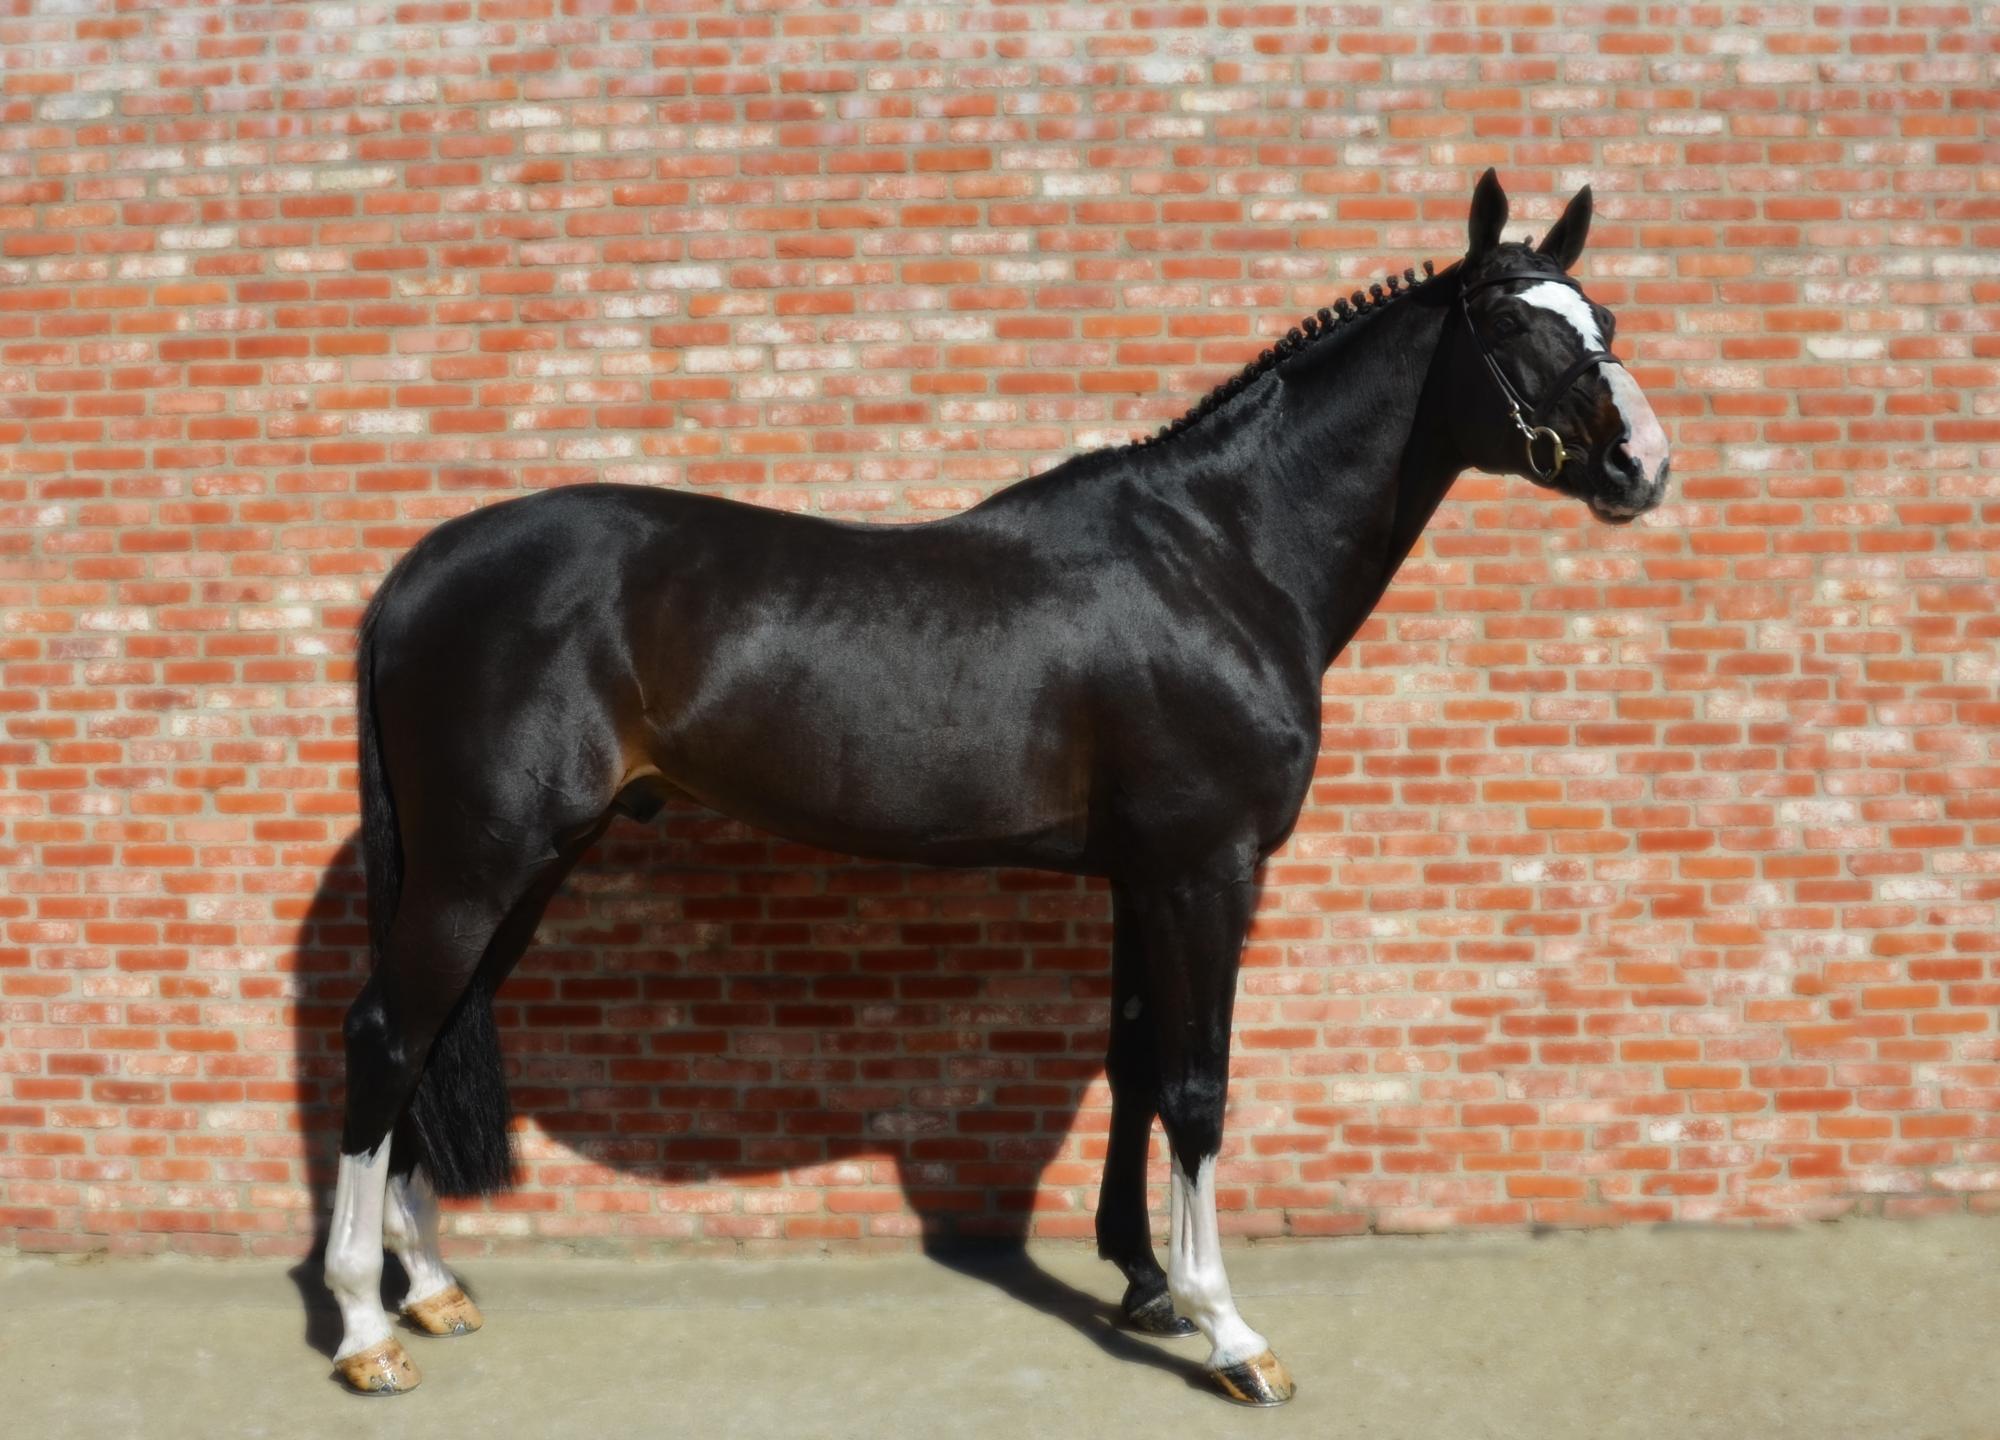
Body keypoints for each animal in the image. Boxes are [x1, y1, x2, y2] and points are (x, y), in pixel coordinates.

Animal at [321, 169, 1671, 1406]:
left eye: (1598, 313)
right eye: (1508, 325)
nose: (1641, 465)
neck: (1222, 556)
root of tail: (418, 571)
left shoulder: (1141, 876)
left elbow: (1134, 1063)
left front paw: (1141, 1284)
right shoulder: (1206, 870)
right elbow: (1197, 1088)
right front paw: (1227, 1331)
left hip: (529, 863)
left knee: (427, 1035)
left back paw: (429, 1290)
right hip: (479, 864)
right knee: (387, 1034)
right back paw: (365, 1330)